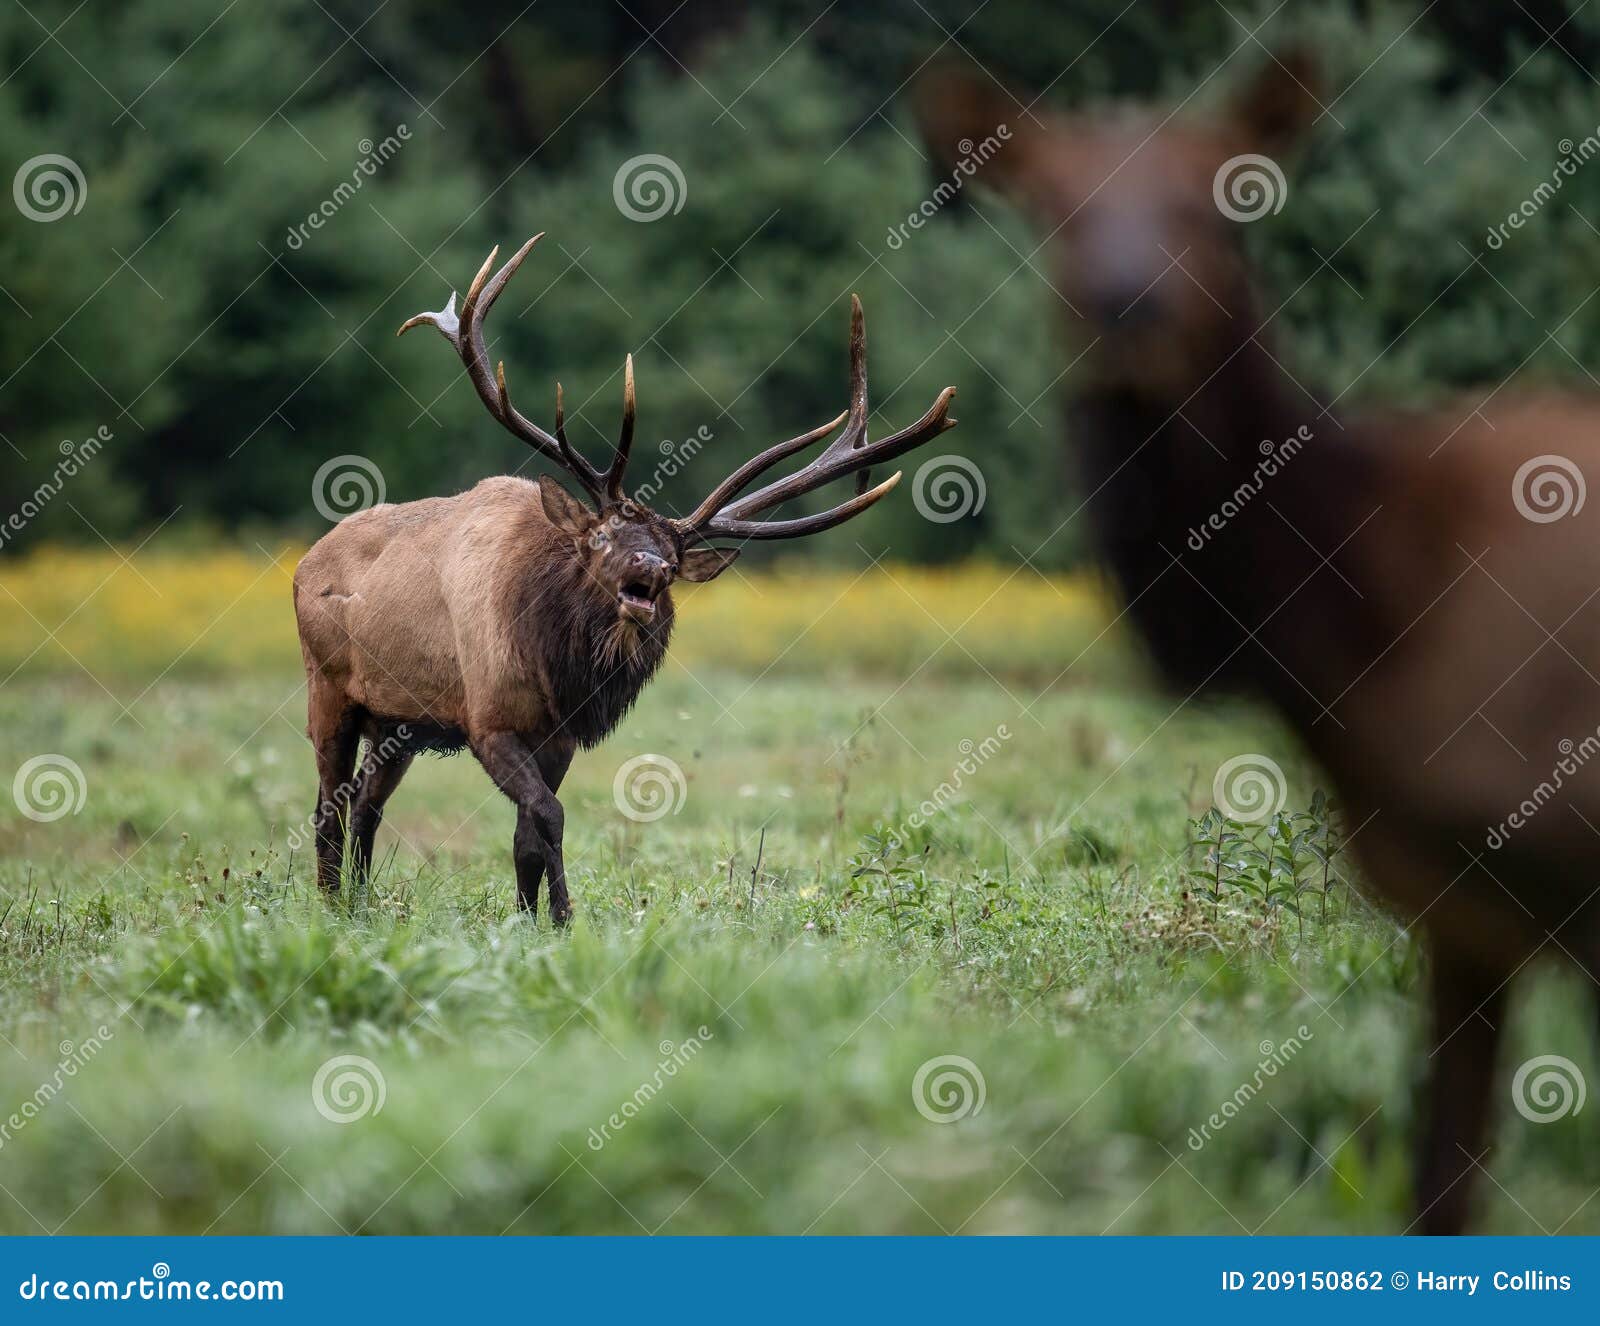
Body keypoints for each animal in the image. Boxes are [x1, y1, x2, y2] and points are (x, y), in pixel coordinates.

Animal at [293, 233, 956, 927]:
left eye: (673, 556)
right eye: (604, 537)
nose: (652, 569)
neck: (555, 663)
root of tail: (306, 561)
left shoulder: (558, 736)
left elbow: (528, 833)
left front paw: (530, 918)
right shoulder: (487, 717)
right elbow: (549, 815)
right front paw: (563, 916)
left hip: (399, 724)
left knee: (367, 806)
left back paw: (357, 903)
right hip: (329, 690)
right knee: (328, 805)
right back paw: (331, 905)